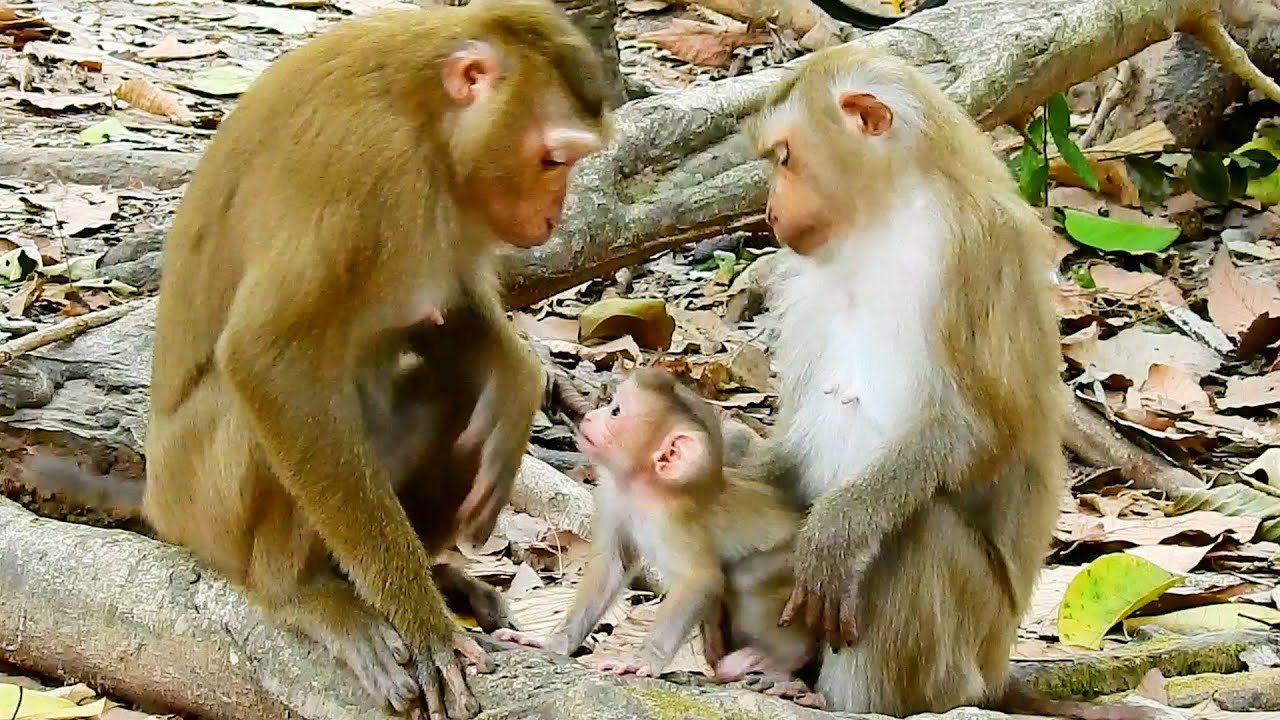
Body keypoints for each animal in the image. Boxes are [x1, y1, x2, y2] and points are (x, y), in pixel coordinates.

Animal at [26, 3, 609, 719]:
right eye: (552, 160)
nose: (555, 214)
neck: (427, 116)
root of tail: (160, 502)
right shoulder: (368, 167)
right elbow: (268, 360)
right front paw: (420, 624)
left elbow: (443, 312)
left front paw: (518, 381)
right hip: (201, 502)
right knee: (260, 409)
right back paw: (303, 595)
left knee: (448, 390)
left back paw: (441, 571)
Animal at [494, 368, 822, 707]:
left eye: (615, 411)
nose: (590, 417)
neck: (644, 488)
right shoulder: (614, 496)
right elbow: (611, 567)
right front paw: (549, 642)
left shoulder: (672, 521)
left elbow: (699, 579)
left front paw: (642, 661)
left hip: (802, 573)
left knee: (746, 578)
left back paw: (784, 657)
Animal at [742, 45, 1153, 720]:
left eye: (784, 157)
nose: (771, 210)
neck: (883, 217)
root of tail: (997, 668)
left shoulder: (971, 249)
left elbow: (980, 425)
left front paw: (838, 530)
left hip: (969, 637)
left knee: (918, 529)